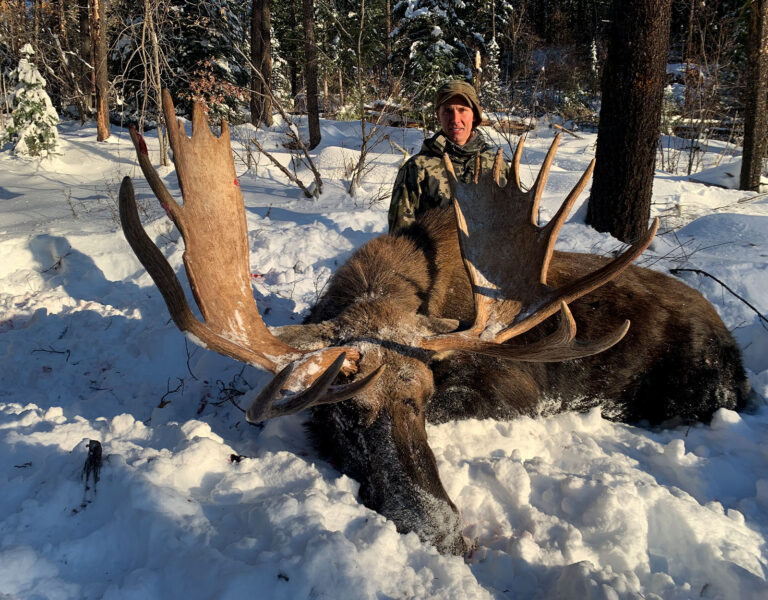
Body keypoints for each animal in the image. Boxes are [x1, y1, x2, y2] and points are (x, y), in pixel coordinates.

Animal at [119, 91, 749, 555]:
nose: (445, 534)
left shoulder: (518, 387)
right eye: (348, 412)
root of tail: (735, 353)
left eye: (423, 400)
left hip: (695, 391)